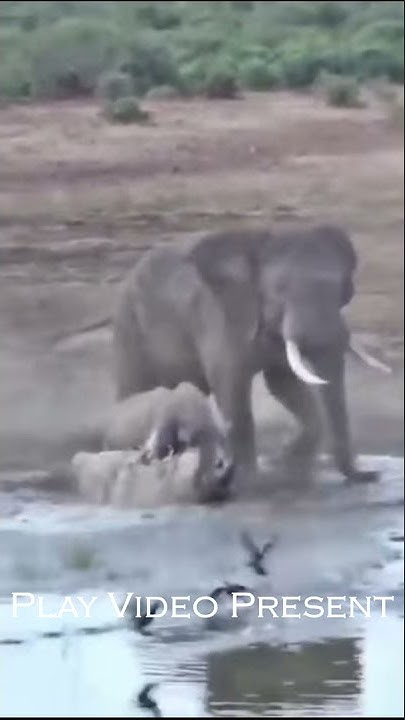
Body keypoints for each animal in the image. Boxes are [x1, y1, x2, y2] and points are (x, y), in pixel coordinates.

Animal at [111, 223, 389, 491]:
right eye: (280, 291)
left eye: (342, 290)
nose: (371, 475)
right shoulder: (219, 315)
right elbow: (232, 387)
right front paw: (253, 481)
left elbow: (283, 383)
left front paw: (284, 462)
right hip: (131, 330)